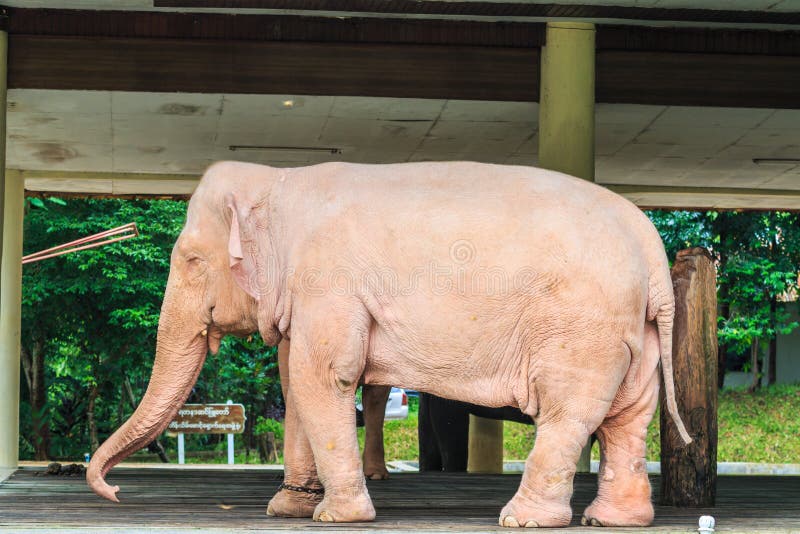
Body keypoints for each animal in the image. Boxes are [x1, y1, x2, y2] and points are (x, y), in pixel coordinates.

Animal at [87, 160, 691, 528]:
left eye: (191, 260)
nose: (114, 494)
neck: (279, 183)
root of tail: (652, 246)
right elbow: (295, 383)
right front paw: (288, 509)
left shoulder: (329, 283)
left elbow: (322, 377)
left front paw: (334, 518)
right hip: (631, 332)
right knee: (628, 416)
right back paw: (613, 520)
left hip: (580, 328)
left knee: (568, 412)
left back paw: (522, 519)